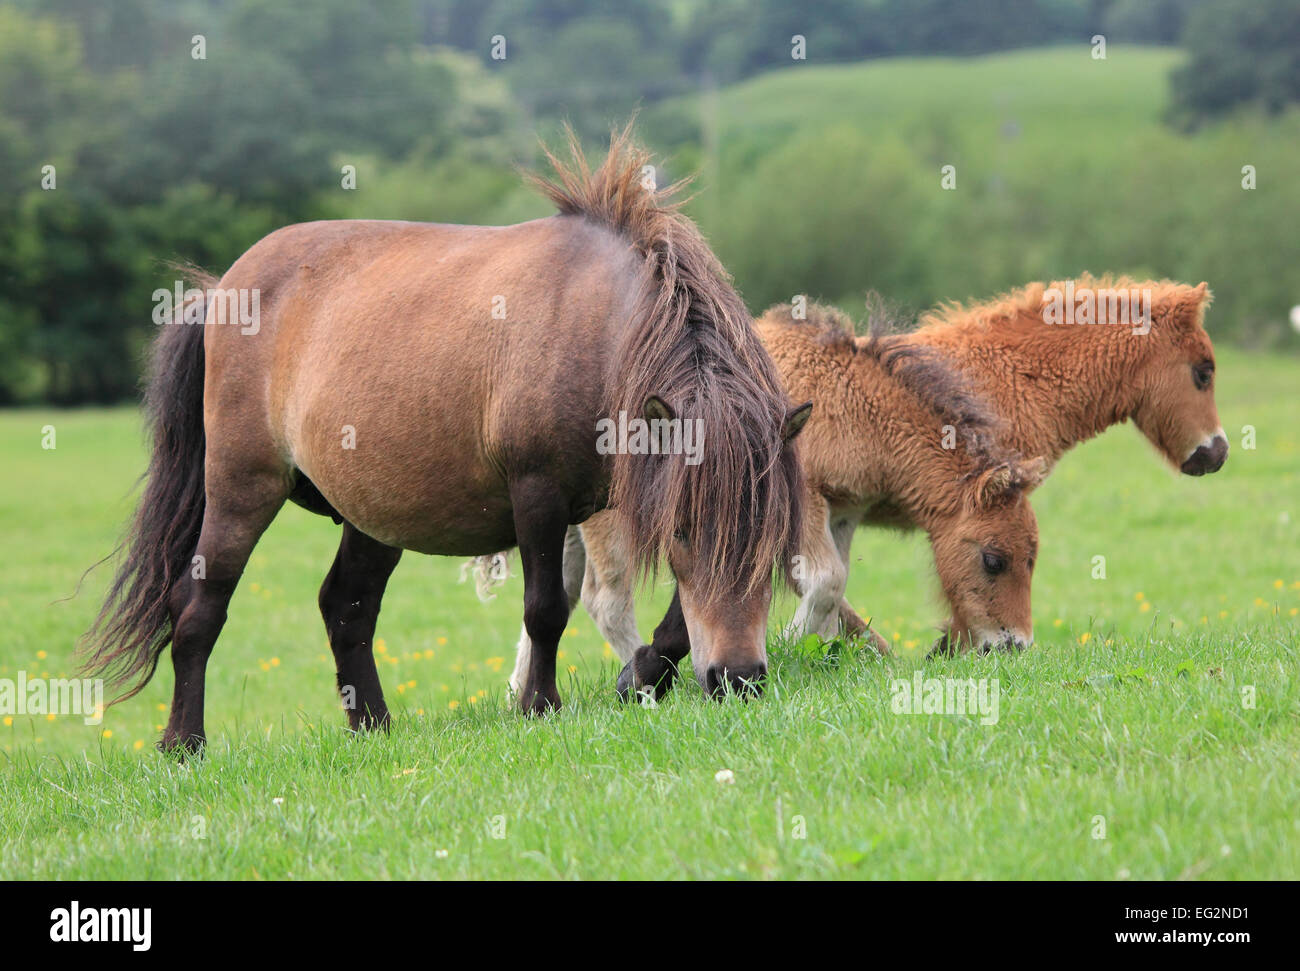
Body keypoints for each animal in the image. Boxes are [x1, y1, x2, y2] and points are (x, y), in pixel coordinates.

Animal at [79, 125, 809, 754]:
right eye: (683, 532)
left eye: (773, 537)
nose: (739, 678)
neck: (600, 327)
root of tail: (220, 290)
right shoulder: (539, 494)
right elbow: (545, 608)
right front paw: (540, 705)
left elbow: (678, 620)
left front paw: (642, 675)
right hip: (240, 489)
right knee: (199, 606)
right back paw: (184, 744)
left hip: (371, 514)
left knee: (344, 608)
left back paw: (372, 726)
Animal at [512, 302, 1048, 699]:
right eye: (993, 559)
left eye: (1032, 557)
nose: (1015, 647)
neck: (844, 401)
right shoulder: (804, 499)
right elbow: (825, 581)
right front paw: (790, 648)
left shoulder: (841, 512)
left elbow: (827, 585)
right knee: (606, 600)